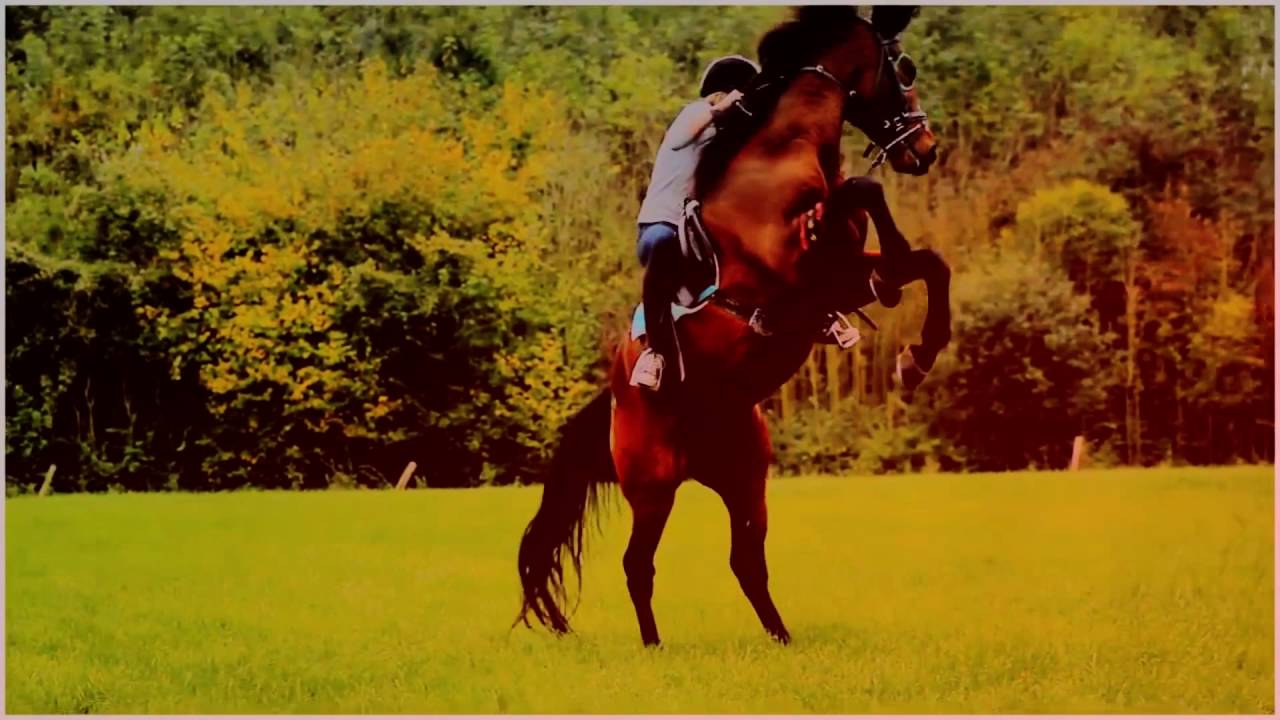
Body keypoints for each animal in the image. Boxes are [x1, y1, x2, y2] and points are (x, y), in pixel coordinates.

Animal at [516, 6, 951, 647]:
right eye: (904, 69)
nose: (925, 148)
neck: (783, 151)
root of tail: (616, 396)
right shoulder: (797, 270)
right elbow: (865, 190)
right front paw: (899, 293)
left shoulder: (835, 280)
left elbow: (928, 263)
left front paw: (917, 353)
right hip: (653, 483)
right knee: (638, 564)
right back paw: (655, 647)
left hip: (745, 476)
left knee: (745, 559)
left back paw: (782, 639)